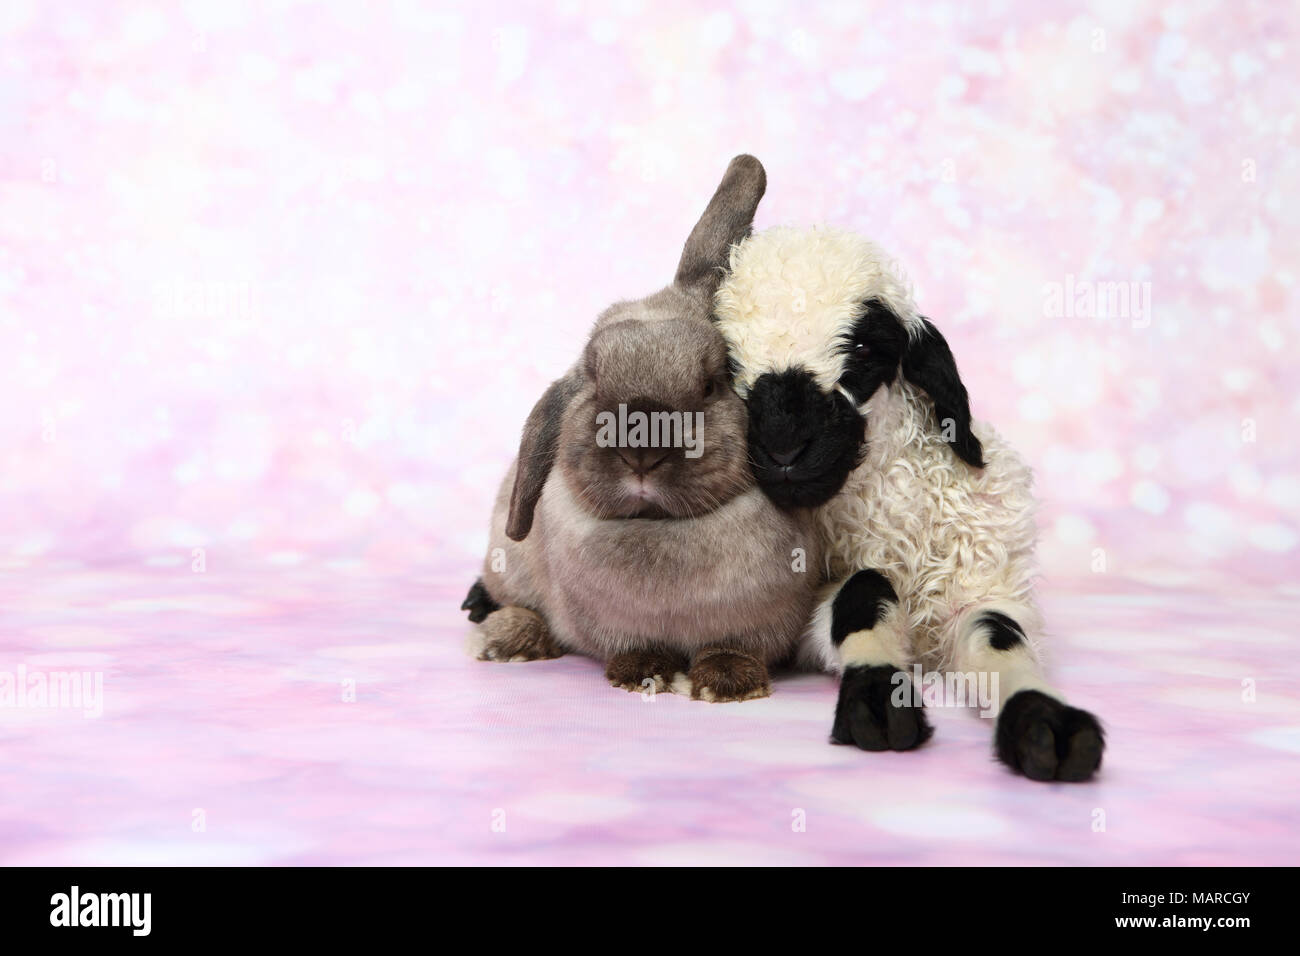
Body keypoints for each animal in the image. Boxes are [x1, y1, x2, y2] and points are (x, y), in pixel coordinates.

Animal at [461, 156, 821, 702]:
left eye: (712, 383)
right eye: (592, 378)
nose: (642, 451)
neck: (658, 526)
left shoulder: (764, 625)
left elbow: (734, 646)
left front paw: (727, 683)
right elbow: (634, 646)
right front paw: (644, 672)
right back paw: (509, 639)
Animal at [713, 223, 1105, 782]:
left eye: (860, 347)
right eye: (732, 363)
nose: (783, 447)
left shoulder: (982, 585)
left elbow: (1000, 637)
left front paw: (1045, 725)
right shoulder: (806, 616)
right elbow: (861, 595)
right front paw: (878, 702)